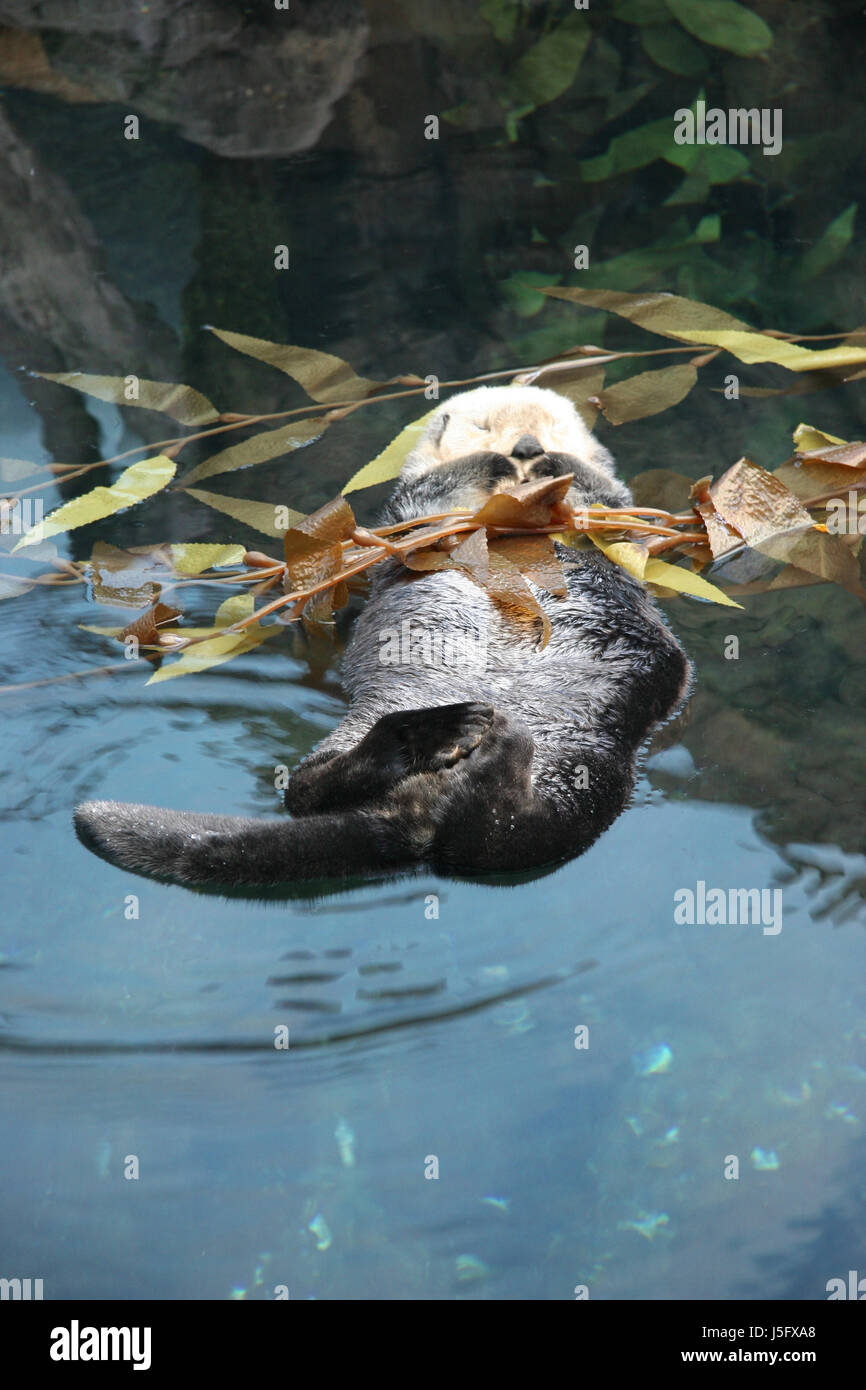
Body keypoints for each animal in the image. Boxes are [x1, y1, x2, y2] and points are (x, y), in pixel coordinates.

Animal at [74, 385, 692, 888]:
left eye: (553, 425)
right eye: (482, 426)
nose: (525, 446)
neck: (514, 509)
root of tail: (418, 811)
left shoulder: (611, 518)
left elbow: (604, 502)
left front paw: (557, 462)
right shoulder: (418, 511)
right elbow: (429, 492)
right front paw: (488, 461)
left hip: (595, 771)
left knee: (505, 841)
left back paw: (492, 748)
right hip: (366, 724)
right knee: (310, 789)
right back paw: (437, 734)